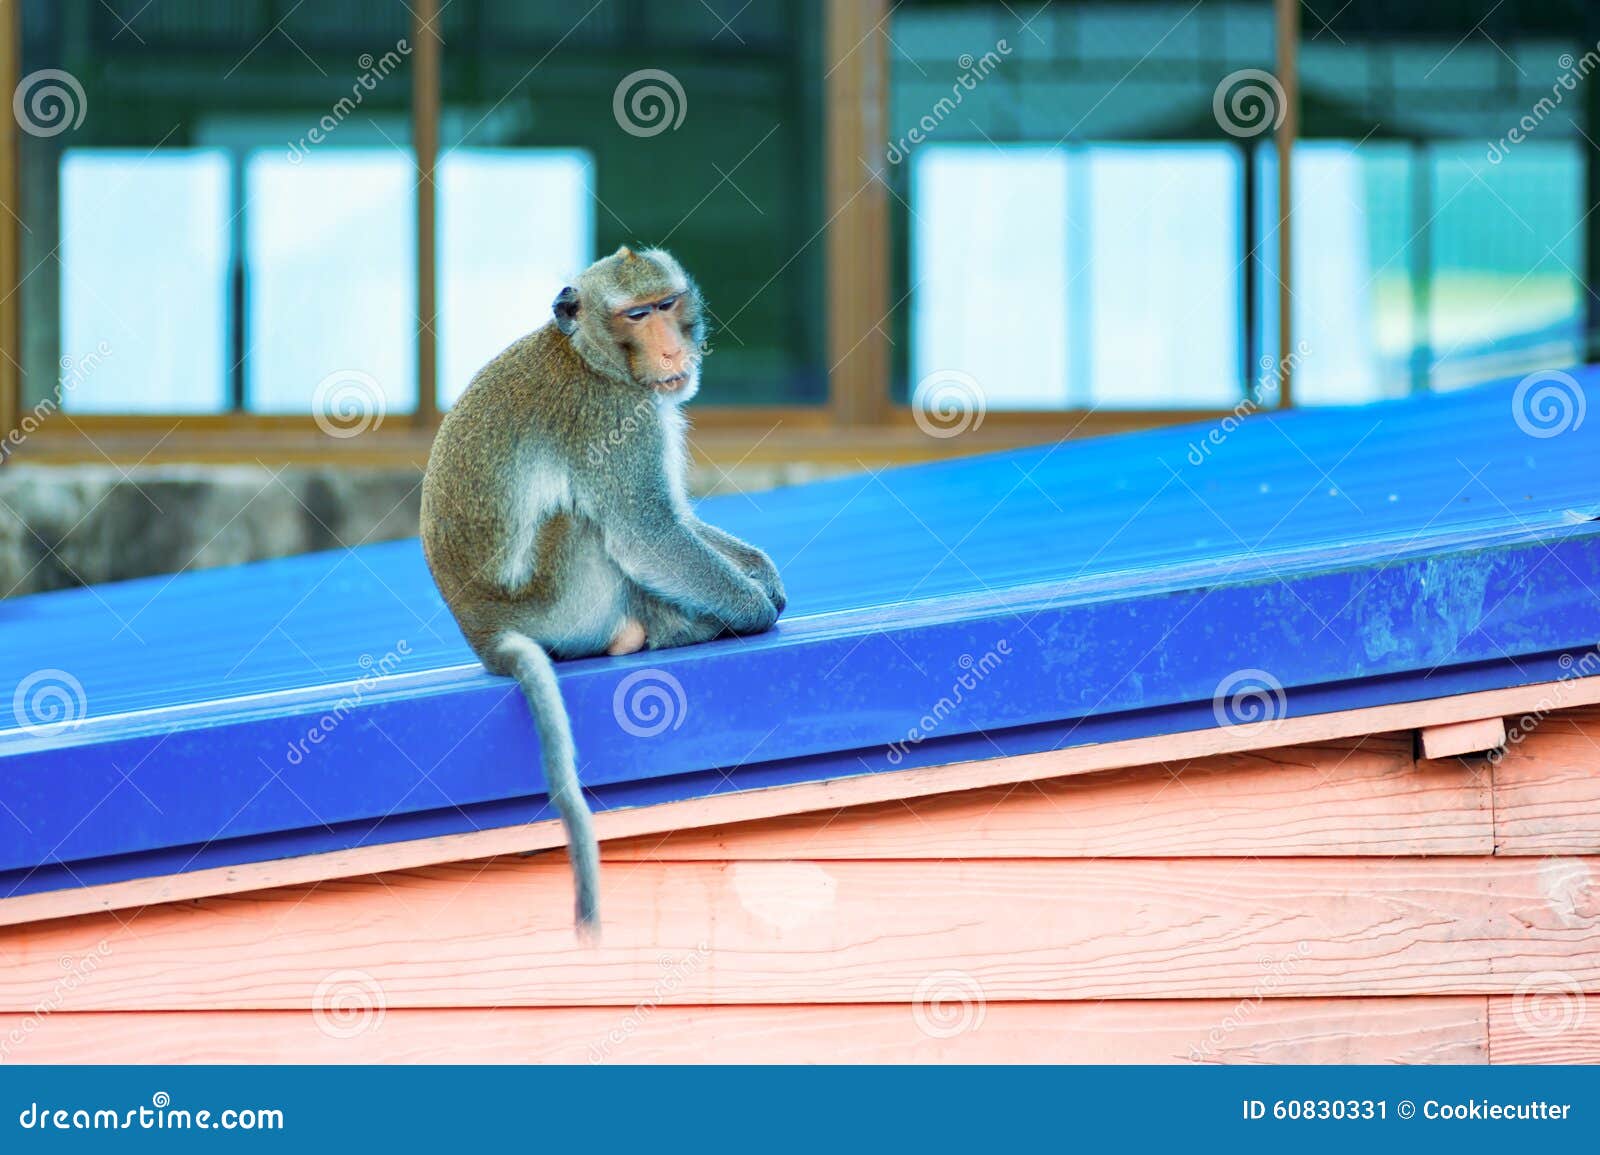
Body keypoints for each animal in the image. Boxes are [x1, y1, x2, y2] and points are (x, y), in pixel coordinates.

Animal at [419, 246, 787, 935]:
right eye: (635, 316)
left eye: (667, 304)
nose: (671, 349)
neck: (592, 358)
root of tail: (485, 636)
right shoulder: (617, 418)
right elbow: (647, 533)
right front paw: (754, 610)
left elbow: (676, 521)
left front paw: (765, 578)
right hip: (564, 602)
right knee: (588, 523)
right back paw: (672, 629)